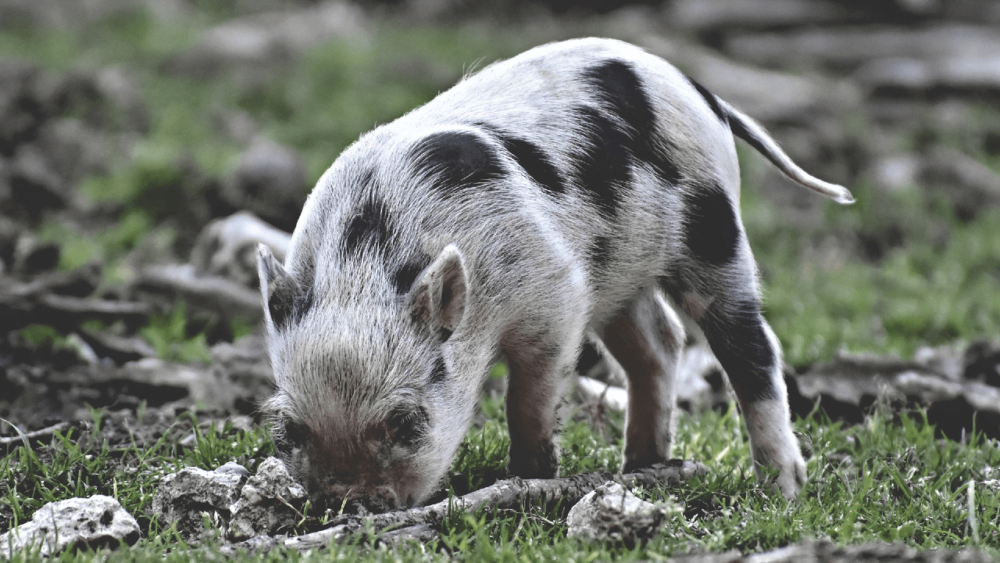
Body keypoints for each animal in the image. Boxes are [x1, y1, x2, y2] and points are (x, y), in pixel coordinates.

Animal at [257, 37, 853, 511]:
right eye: (289, 430)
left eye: (406, 422)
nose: (348, 505)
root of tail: (695, 87)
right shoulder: (580, 289)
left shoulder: (556, 296)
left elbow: (530, 400)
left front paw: (530, 478)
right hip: (618, 274)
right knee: (659, 342)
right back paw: (641, 467)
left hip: (713, 227)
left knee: (750, 347)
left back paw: (782, 489)